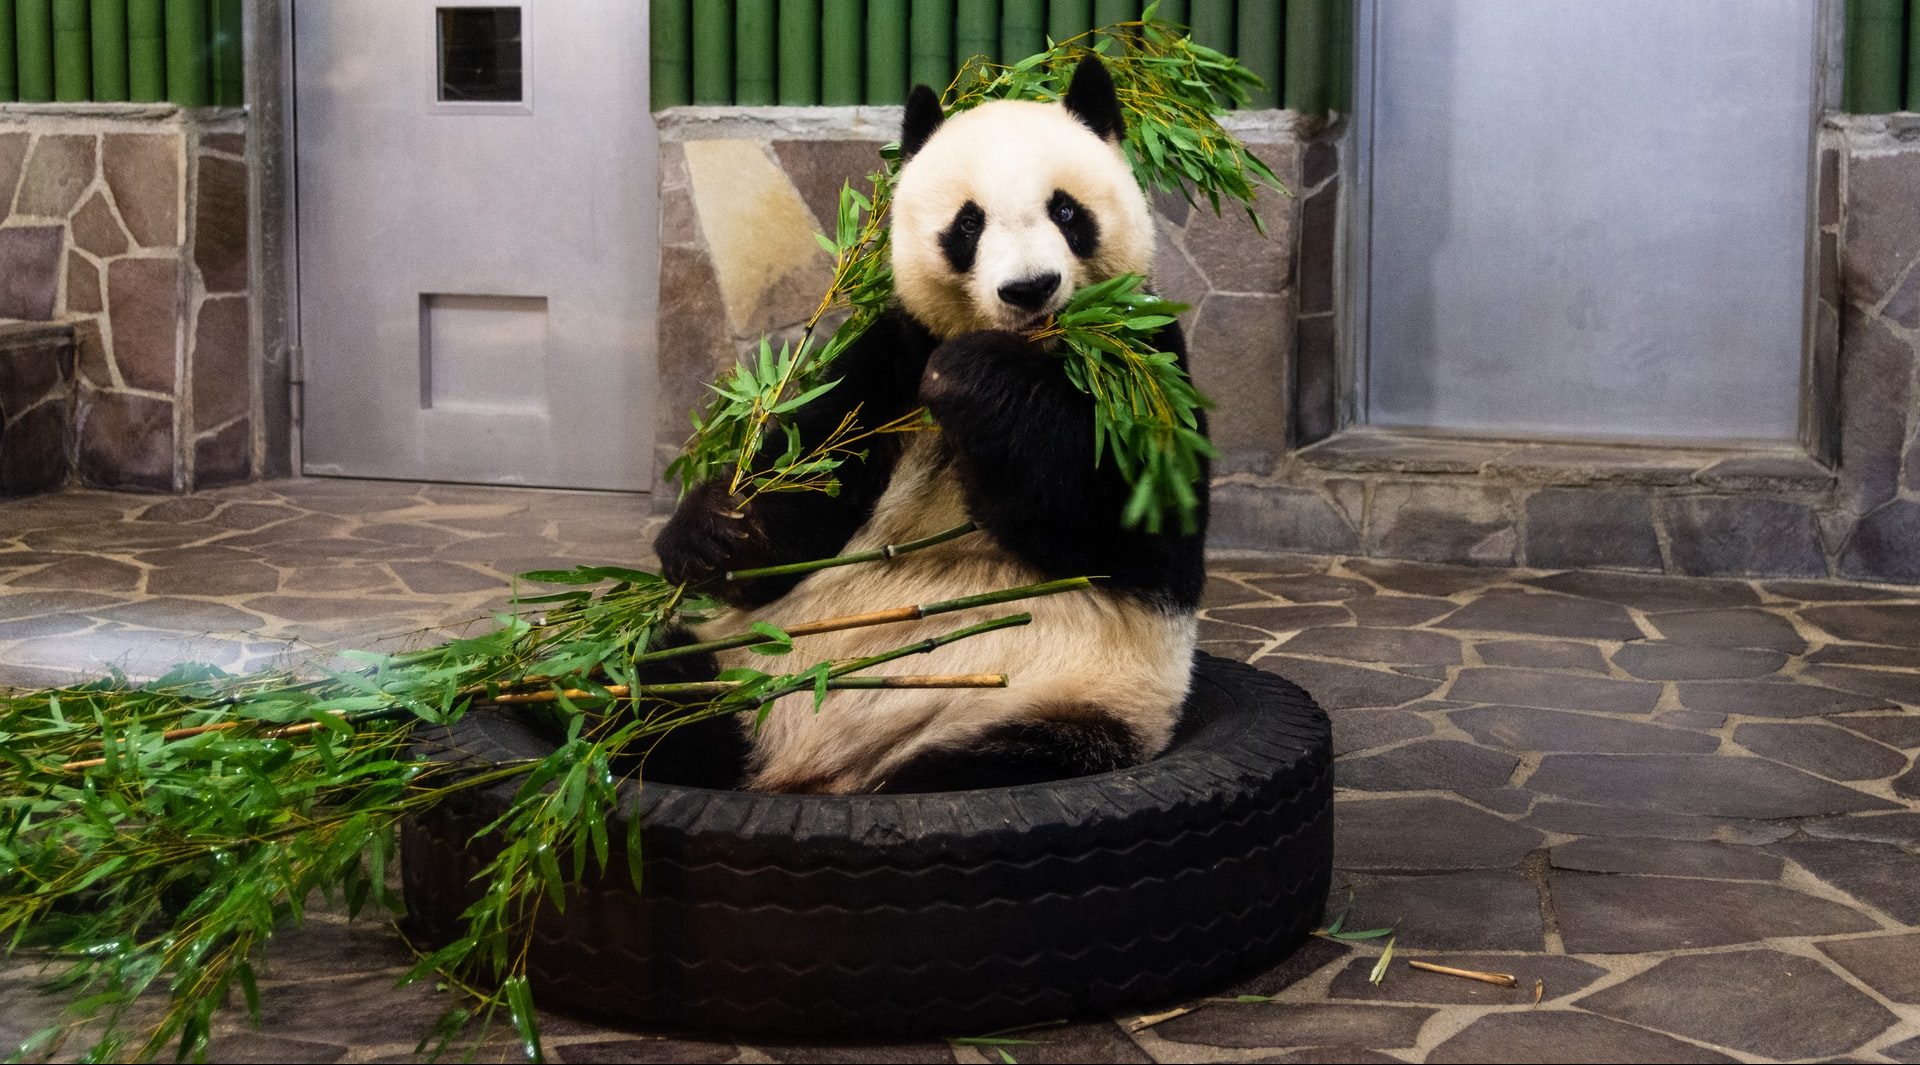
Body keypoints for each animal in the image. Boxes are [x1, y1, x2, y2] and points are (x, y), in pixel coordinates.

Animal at [653, 55, 1209, 794]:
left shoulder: (1143, 364)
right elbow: (806, 495)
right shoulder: (886, 366)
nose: (1029, 289)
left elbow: (1135, 531)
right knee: (639, 692)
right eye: (968, 224)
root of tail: (806, 772)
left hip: (1056, 711)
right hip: (741, 664)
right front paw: (716, 530)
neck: (1039, 350)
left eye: (1066, 210)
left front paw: (975, 379)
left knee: (980, 772)